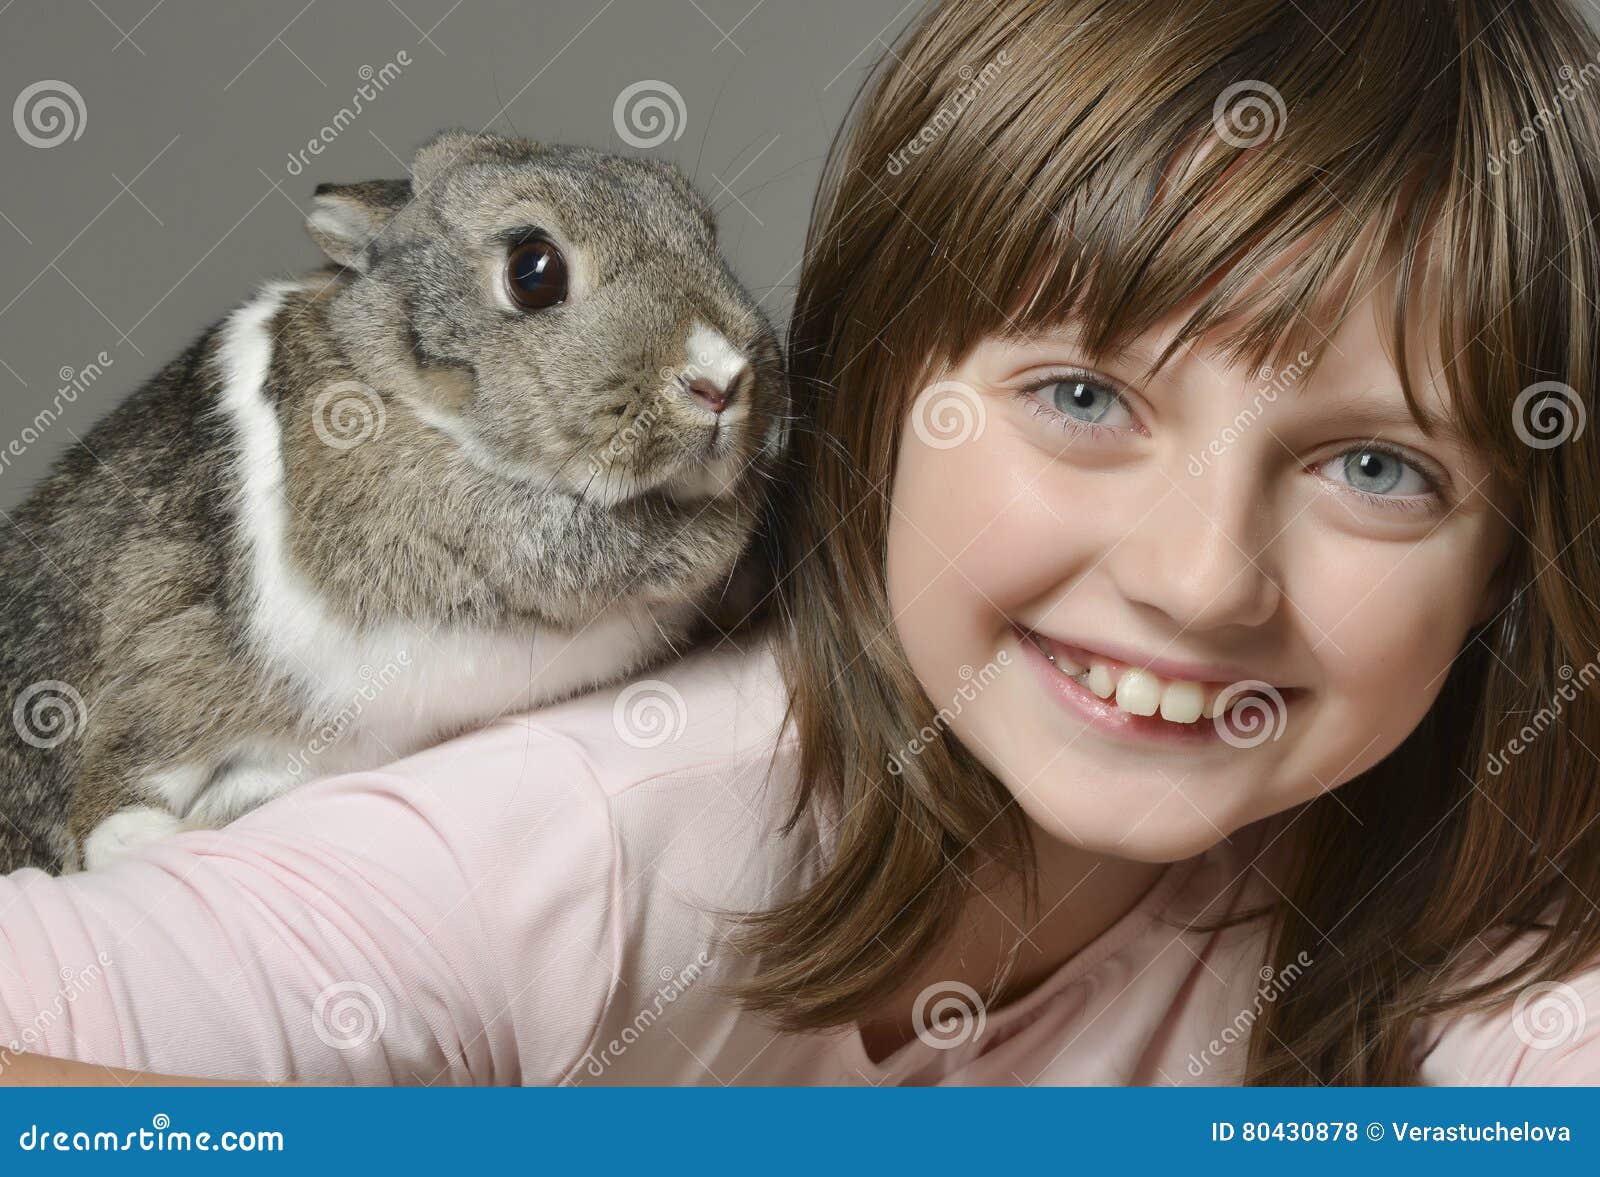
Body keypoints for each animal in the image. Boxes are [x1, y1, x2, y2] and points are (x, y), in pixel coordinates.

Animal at [0, 129, 789, 875]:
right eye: (534, 271)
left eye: (703, 228)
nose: (721, 378)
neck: (415, 405)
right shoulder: (172, 637)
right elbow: (128, 761)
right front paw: (142, 837)